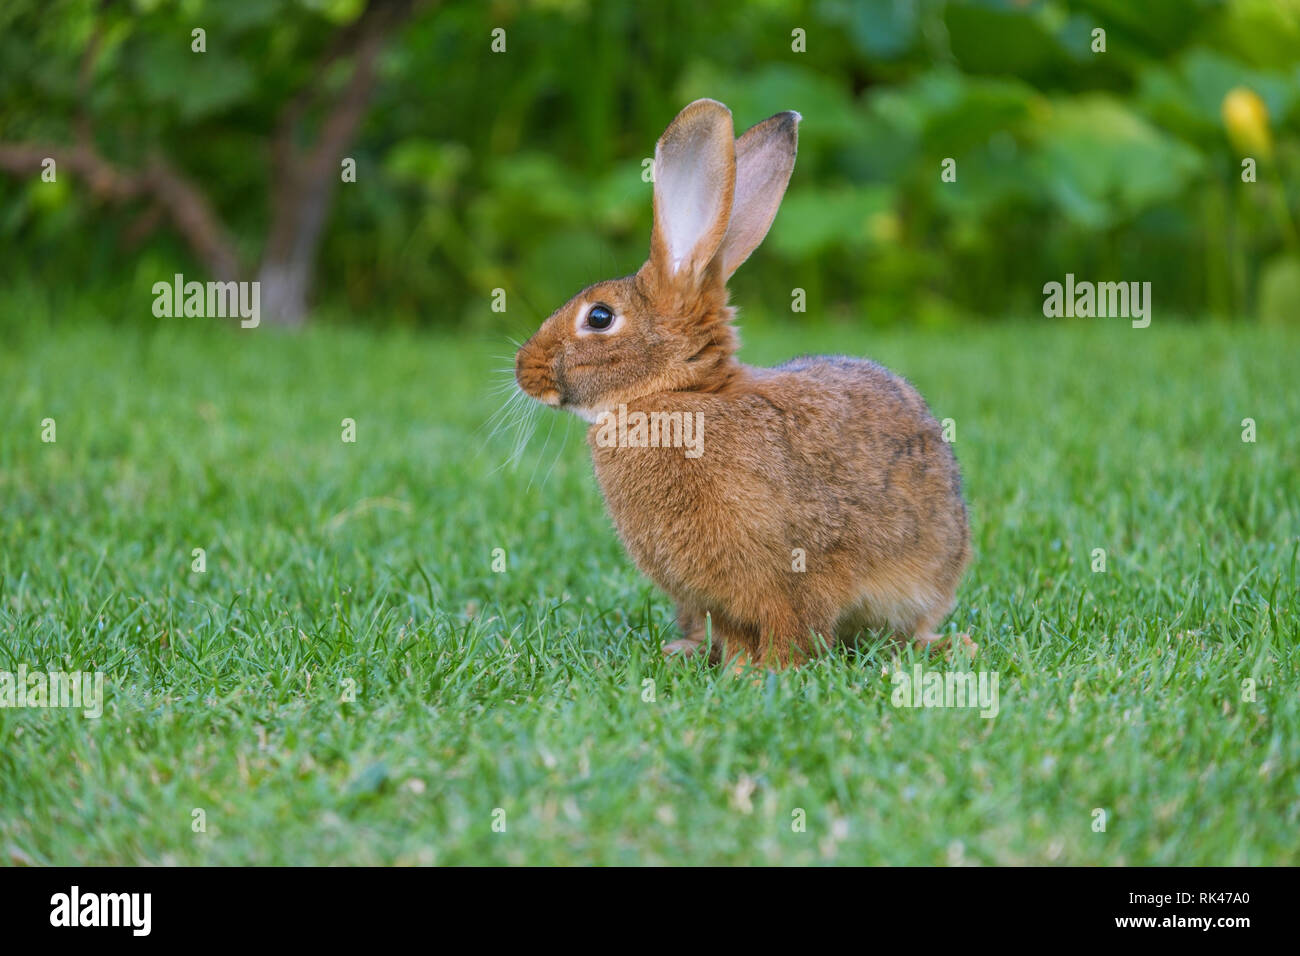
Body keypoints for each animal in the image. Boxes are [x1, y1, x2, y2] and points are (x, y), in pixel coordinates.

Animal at [515, 98, 972, 669]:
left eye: (599, 317)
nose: (523, 369)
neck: (681, 395)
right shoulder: (714, 596)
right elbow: (735, 631)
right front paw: (735, 668)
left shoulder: (796, 571)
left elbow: (794, 626)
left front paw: (765, 674)